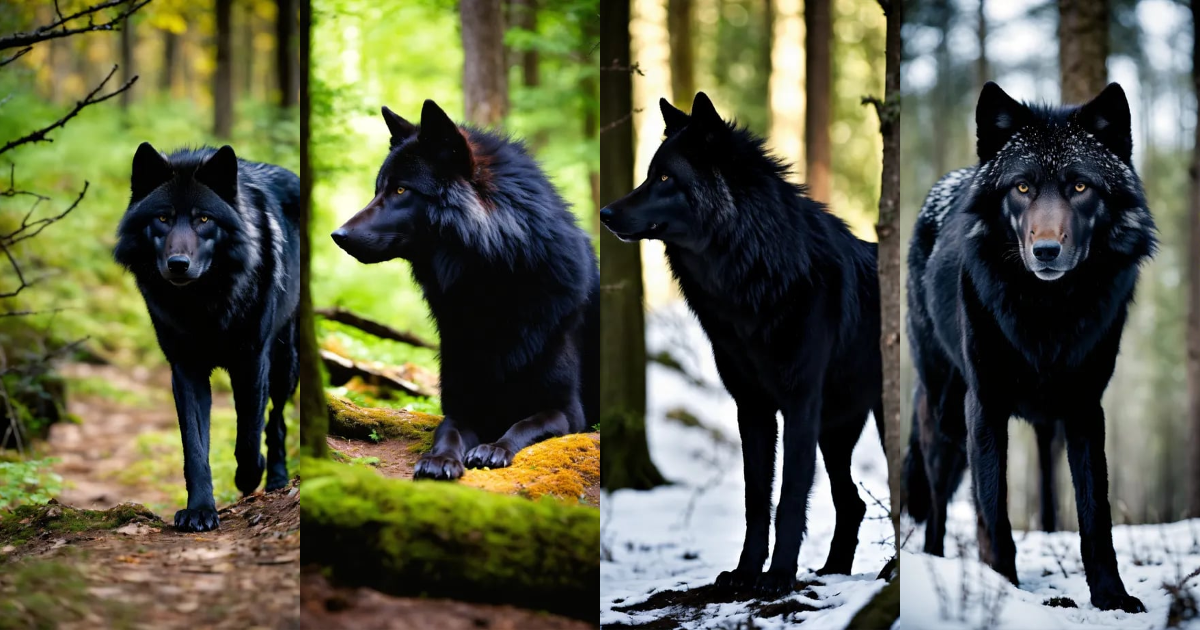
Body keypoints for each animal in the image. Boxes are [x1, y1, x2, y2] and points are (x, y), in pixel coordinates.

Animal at [114, 144, 301, 532]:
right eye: (163, 218)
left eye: (203, 220)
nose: (178, 264)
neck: (202, 304)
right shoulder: (186, 370)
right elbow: (195, 449)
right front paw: (200, 510)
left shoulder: (251, 361)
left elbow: (248, 435)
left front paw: (249, 476)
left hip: (284, 365)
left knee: (276, 422)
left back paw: (276, 480)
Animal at [331, 100, 599, 481]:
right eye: (378, 188)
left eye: (400, 190)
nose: (336, 235)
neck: (490, 290)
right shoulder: (460, 404)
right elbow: (450, 432)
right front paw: (441, 459)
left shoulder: (567, 411)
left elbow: (523, 424)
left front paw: (493, 448)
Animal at [600, 92, 882, 598]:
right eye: (649, 174)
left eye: (665, 178)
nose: (605, 214)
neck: (753, 276)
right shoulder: (752, 409)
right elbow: (756, 498)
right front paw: (746, 573)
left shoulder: (799, 405)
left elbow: (789, 497)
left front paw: (779, 576)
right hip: (836, 434)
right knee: (852, 503)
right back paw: (833, 571)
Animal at [905, 82, 1154, 612]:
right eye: (1021, 187)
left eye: (1080, 187)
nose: (1045, 251)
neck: (1047, 312)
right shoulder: (986, 406)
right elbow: (995, 509)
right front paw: (1003, 588)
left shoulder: (1085, 409)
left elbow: (1094, 515)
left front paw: (1111, 596)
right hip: (945, 417)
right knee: (936, 501)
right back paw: (934, 562)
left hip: (1033, 427)